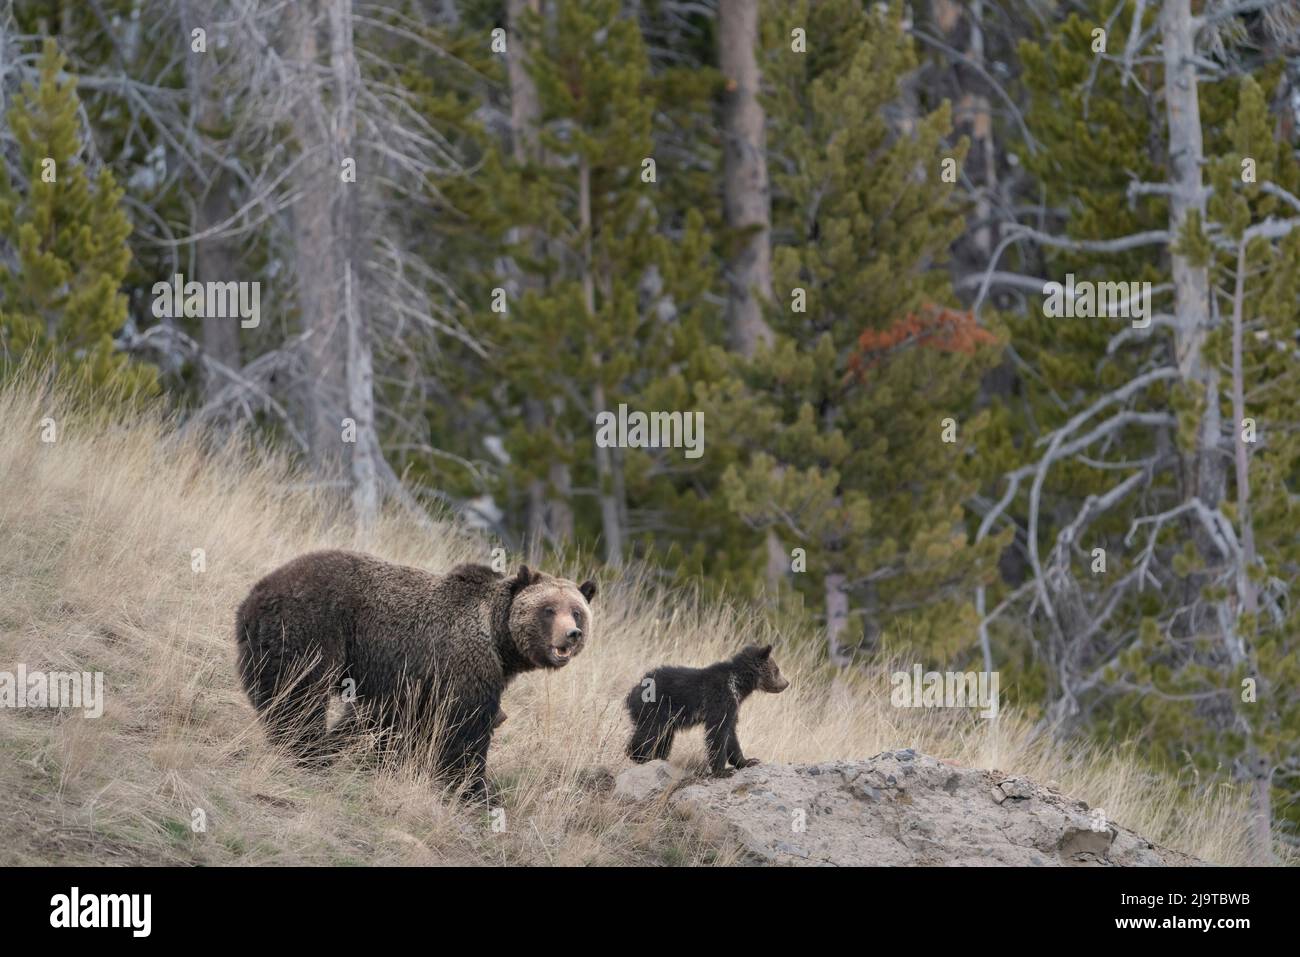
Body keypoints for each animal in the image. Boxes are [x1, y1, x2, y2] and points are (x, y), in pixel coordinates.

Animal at [234, 550, 596, 799]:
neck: (500, 641)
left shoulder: (412, 684)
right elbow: (465, 730)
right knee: (301, 692)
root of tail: (257, 593)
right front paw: (476, 789)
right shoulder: (461, 666)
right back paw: (308, 749)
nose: (572, 634)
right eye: (548, 609)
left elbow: (394, 723)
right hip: (314, 627)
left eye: (577, 611)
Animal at [624, 644, 789, 776]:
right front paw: (722, 770)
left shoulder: (733, 706)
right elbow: (718, 732)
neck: (738, 684)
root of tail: (633, 691)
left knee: (664, 738)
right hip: (656, 710)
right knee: (649, 733)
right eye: (777, 669)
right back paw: (639, 756)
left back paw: (660, 758)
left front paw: (748, 761)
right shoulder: (720, 699)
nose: (786, 683)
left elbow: (731, 733)